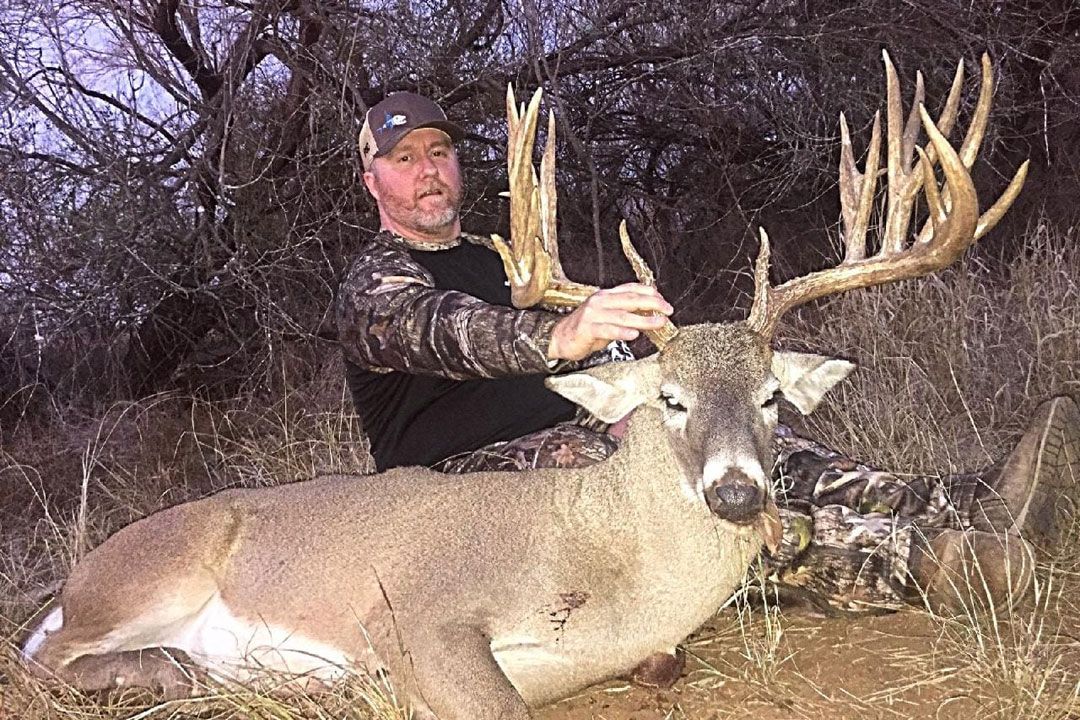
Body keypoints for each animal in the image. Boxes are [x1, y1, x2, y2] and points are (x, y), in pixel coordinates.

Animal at [21, 52, 1025, 720]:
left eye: (772, 397)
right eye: (670, 400)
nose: (739, 492)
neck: (606, 568)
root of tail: (70, 581)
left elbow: (658, 664)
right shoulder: (416, 613)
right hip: (154, 570)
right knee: (45, 656)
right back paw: (175, 671)